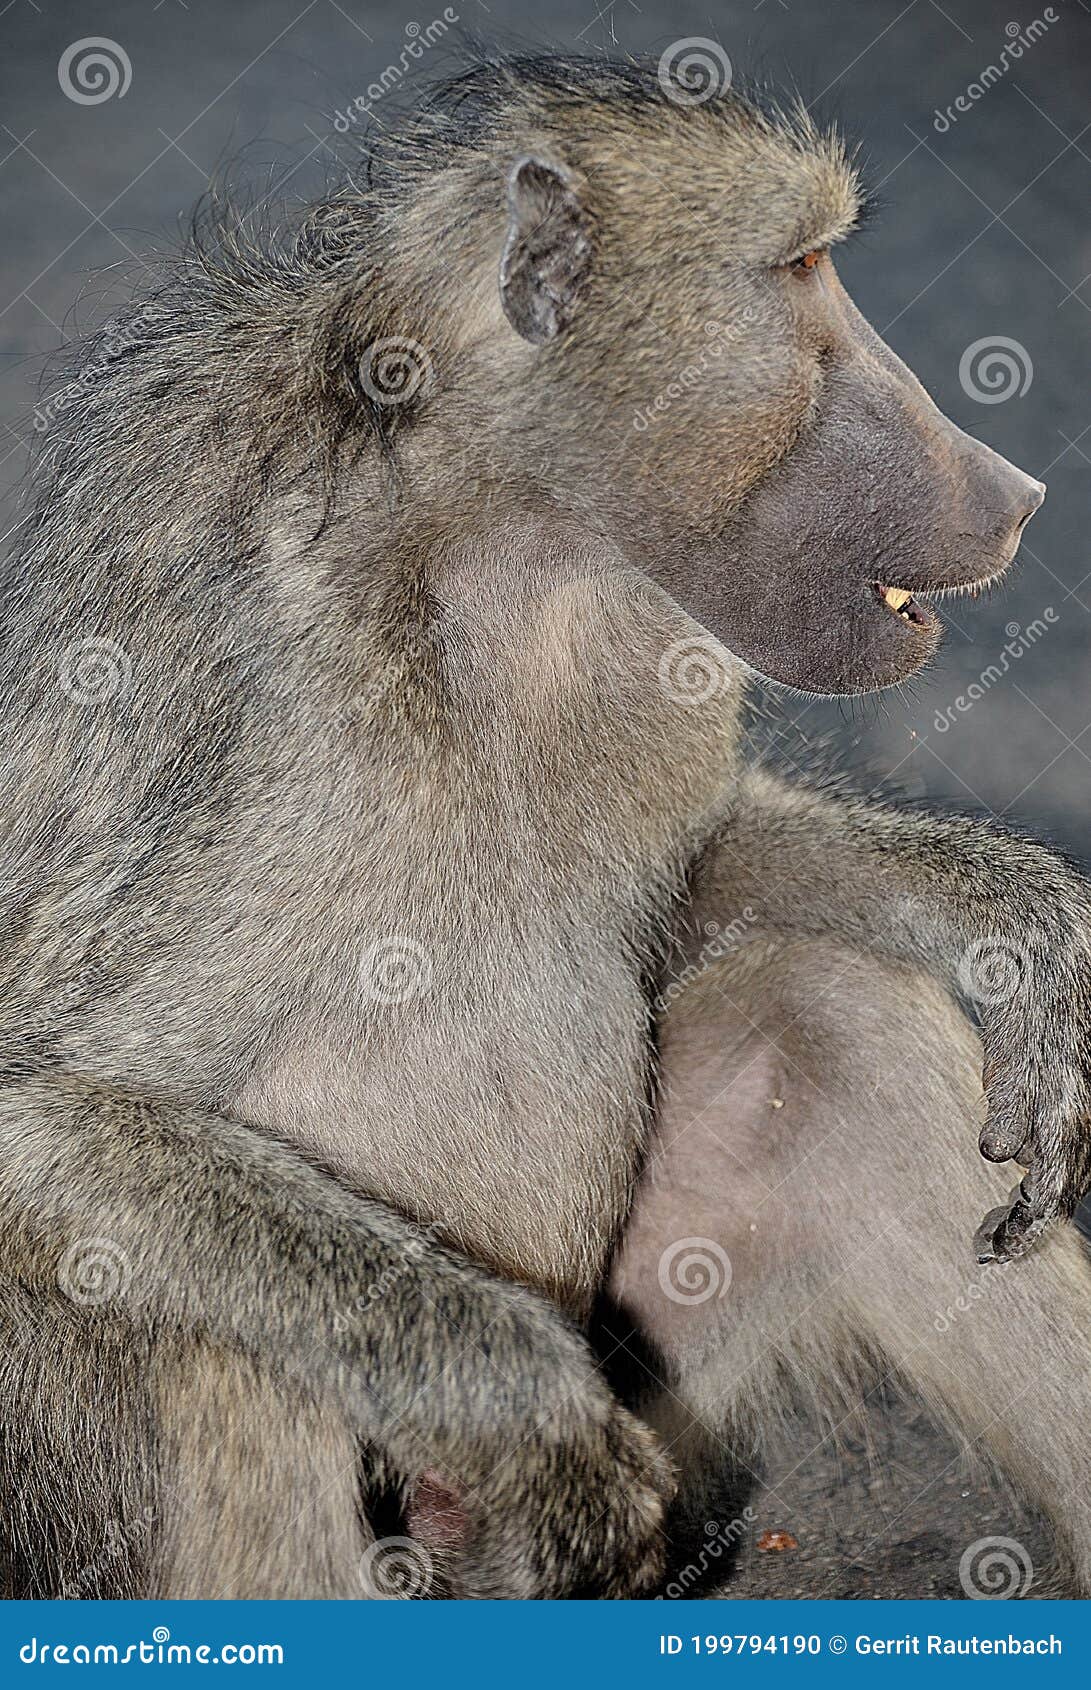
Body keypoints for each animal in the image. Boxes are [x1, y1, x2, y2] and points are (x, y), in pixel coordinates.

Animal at [0, 52, 1086, 1600]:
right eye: (797, 269)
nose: (1014, 494)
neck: (498, 543)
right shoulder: (255, 695)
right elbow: (45, 1103)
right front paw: (518, 1402)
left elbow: (692, 878)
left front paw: (1010, 928)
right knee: (216, 1346)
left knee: (828, 1022)